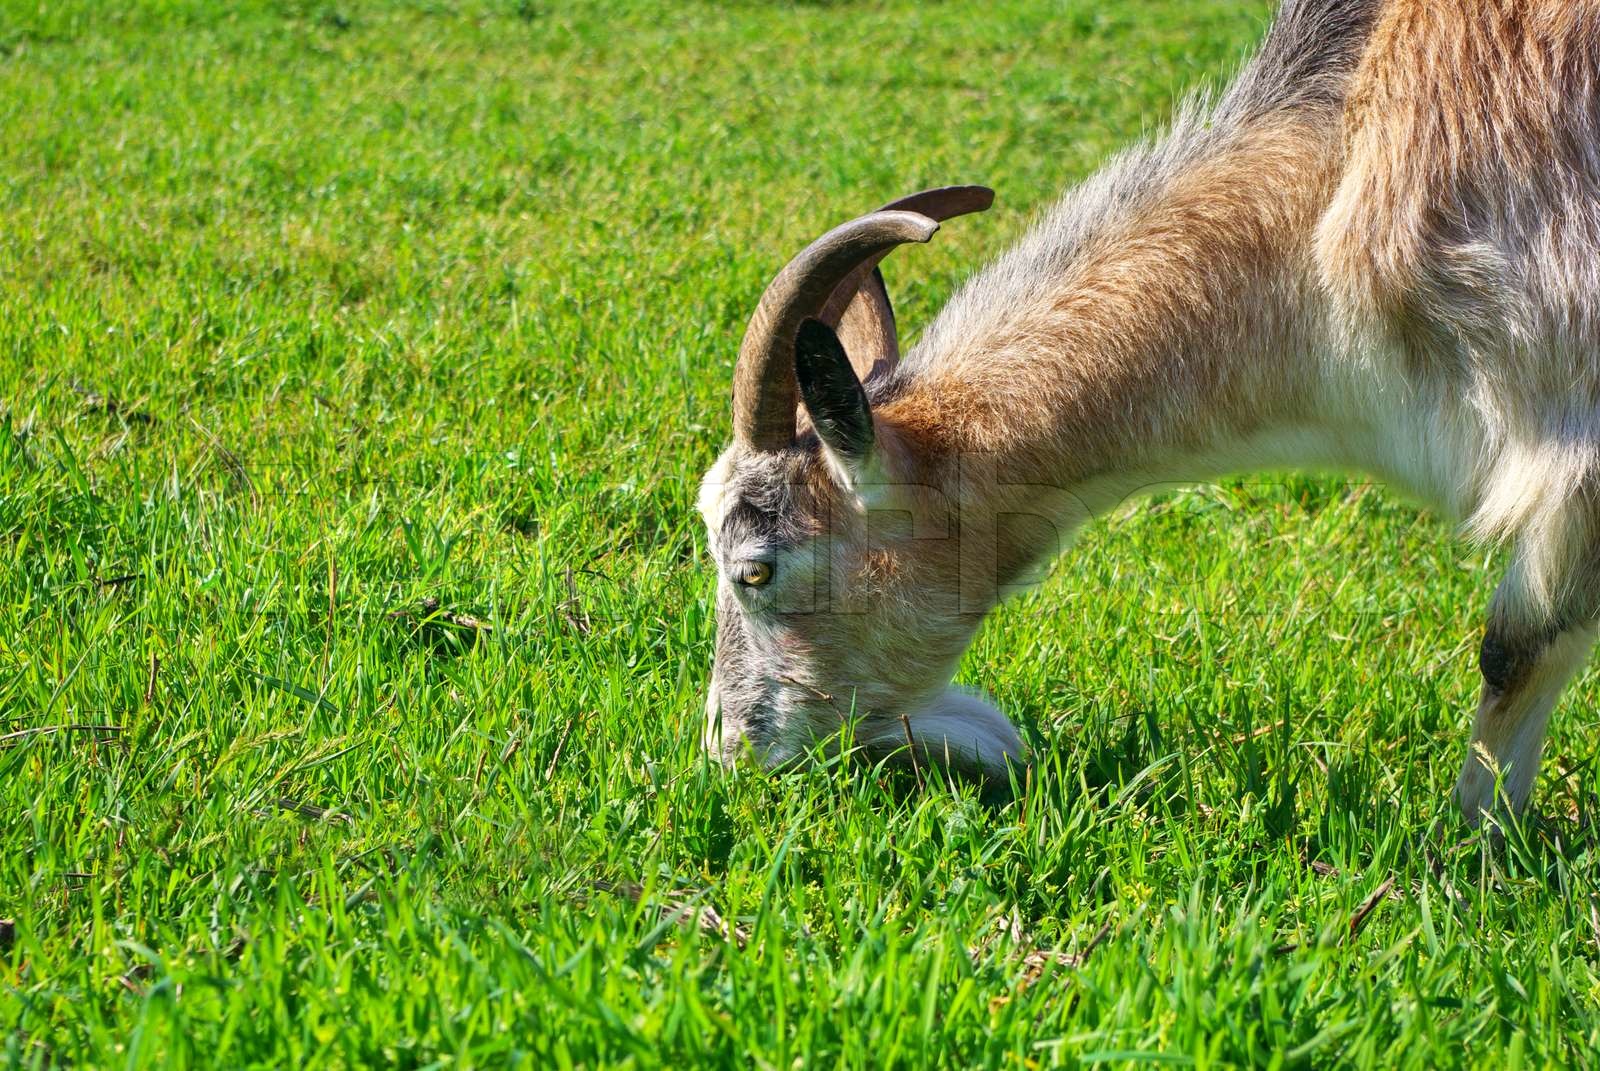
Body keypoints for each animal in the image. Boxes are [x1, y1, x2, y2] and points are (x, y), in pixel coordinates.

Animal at [698, 0, 1600, 820]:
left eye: (755, 569)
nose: (730, 748)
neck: (1330, 182)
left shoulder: (1570, 441)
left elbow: (1514, 646)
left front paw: (1478, 843)